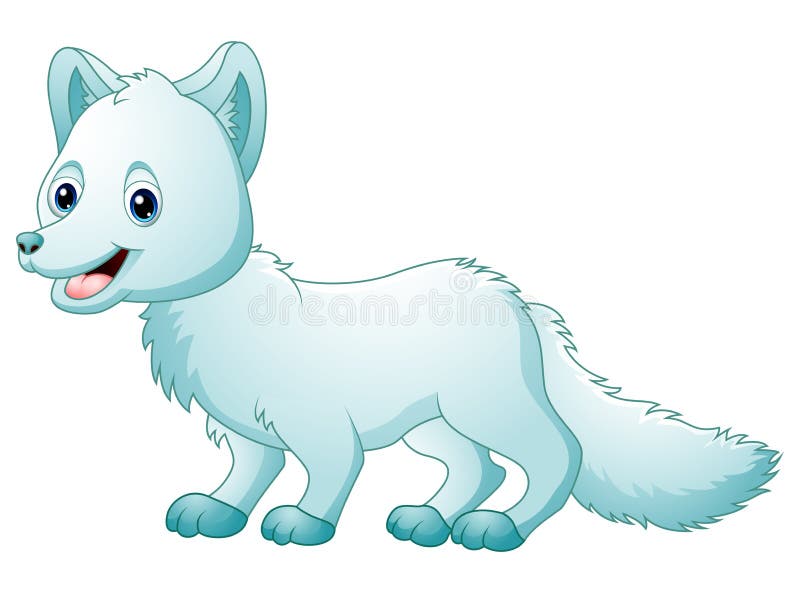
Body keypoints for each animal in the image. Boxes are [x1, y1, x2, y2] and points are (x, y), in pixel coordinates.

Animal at [16, 42, 779, 551]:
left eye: (143, 203)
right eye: (64, 193)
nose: (28, 242)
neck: (218, 310)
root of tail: (513, 295)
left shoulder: (317, 422)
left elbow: (329, 471)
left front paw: (304, 523)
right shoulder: (244, 429)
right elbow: (249, 471)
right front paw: (218, 512)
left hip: (486, 405)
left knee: (556, 453)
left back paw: (499, 527)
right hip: (431, 422)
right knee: (477, 467)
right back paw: (428, 520)